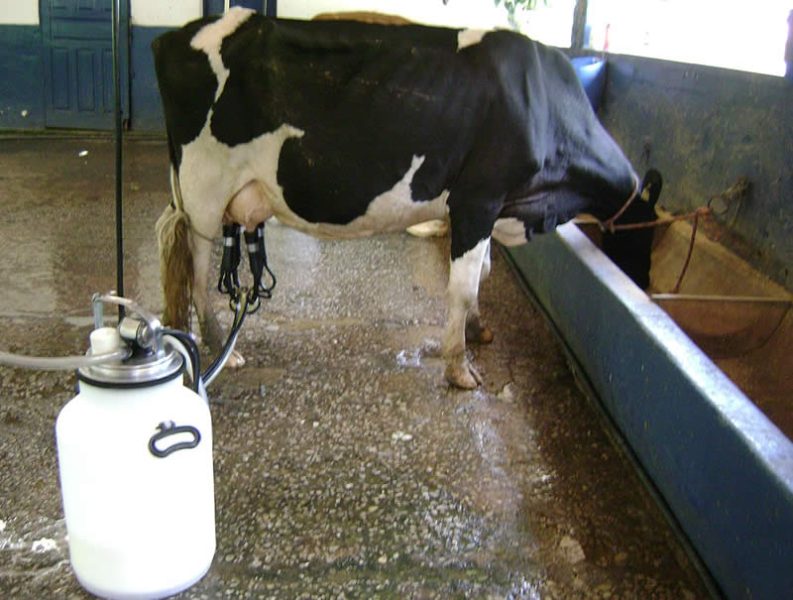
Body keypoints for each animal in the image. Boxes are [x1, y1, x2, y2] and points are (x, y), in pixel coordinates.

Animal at [152, 8, 659, 389]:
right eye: (645, 236)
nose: (646, 283)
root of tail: (174, 36)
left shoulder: (493, 208)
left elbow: (483, 274)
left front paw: (478, 330)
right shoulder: (477, 200)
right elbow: (462, 286)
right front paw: (460, 368)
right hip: (202, 188)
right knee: (197, 273)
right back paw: (221, 347)